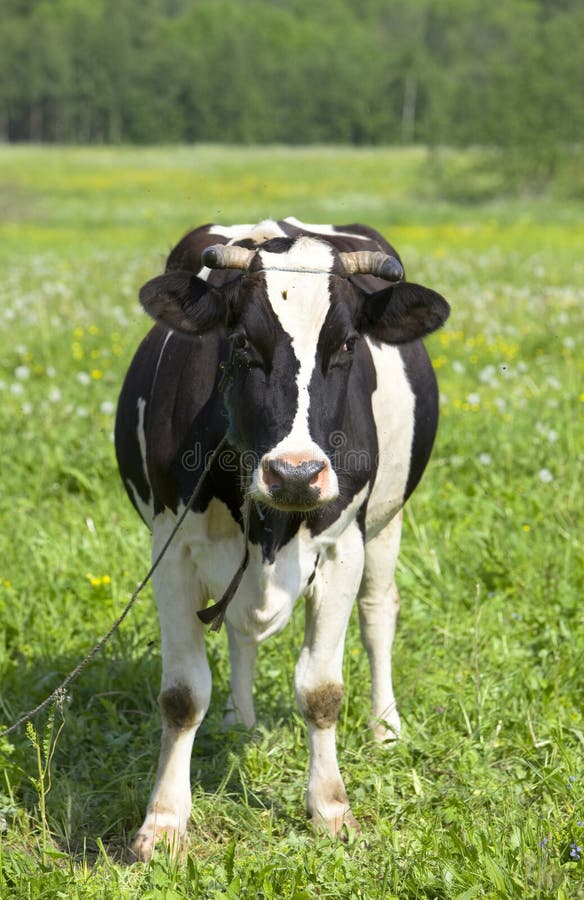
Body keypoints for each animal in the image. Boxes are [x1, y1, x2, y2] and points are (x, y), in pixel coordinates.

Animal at [115, 217, 449, 861]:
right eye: (241, 343)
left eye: (347, 345)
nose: (295, 473)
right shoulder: (172, 550)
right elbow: (182, 695)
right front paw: (164, 821)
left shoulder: (344, 547)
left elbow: (321, 690)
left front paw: (331, 808)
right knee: (240, 632)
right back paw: (240, 719)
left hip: (387, 521)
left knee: (378, 612)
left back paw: (386, 728)